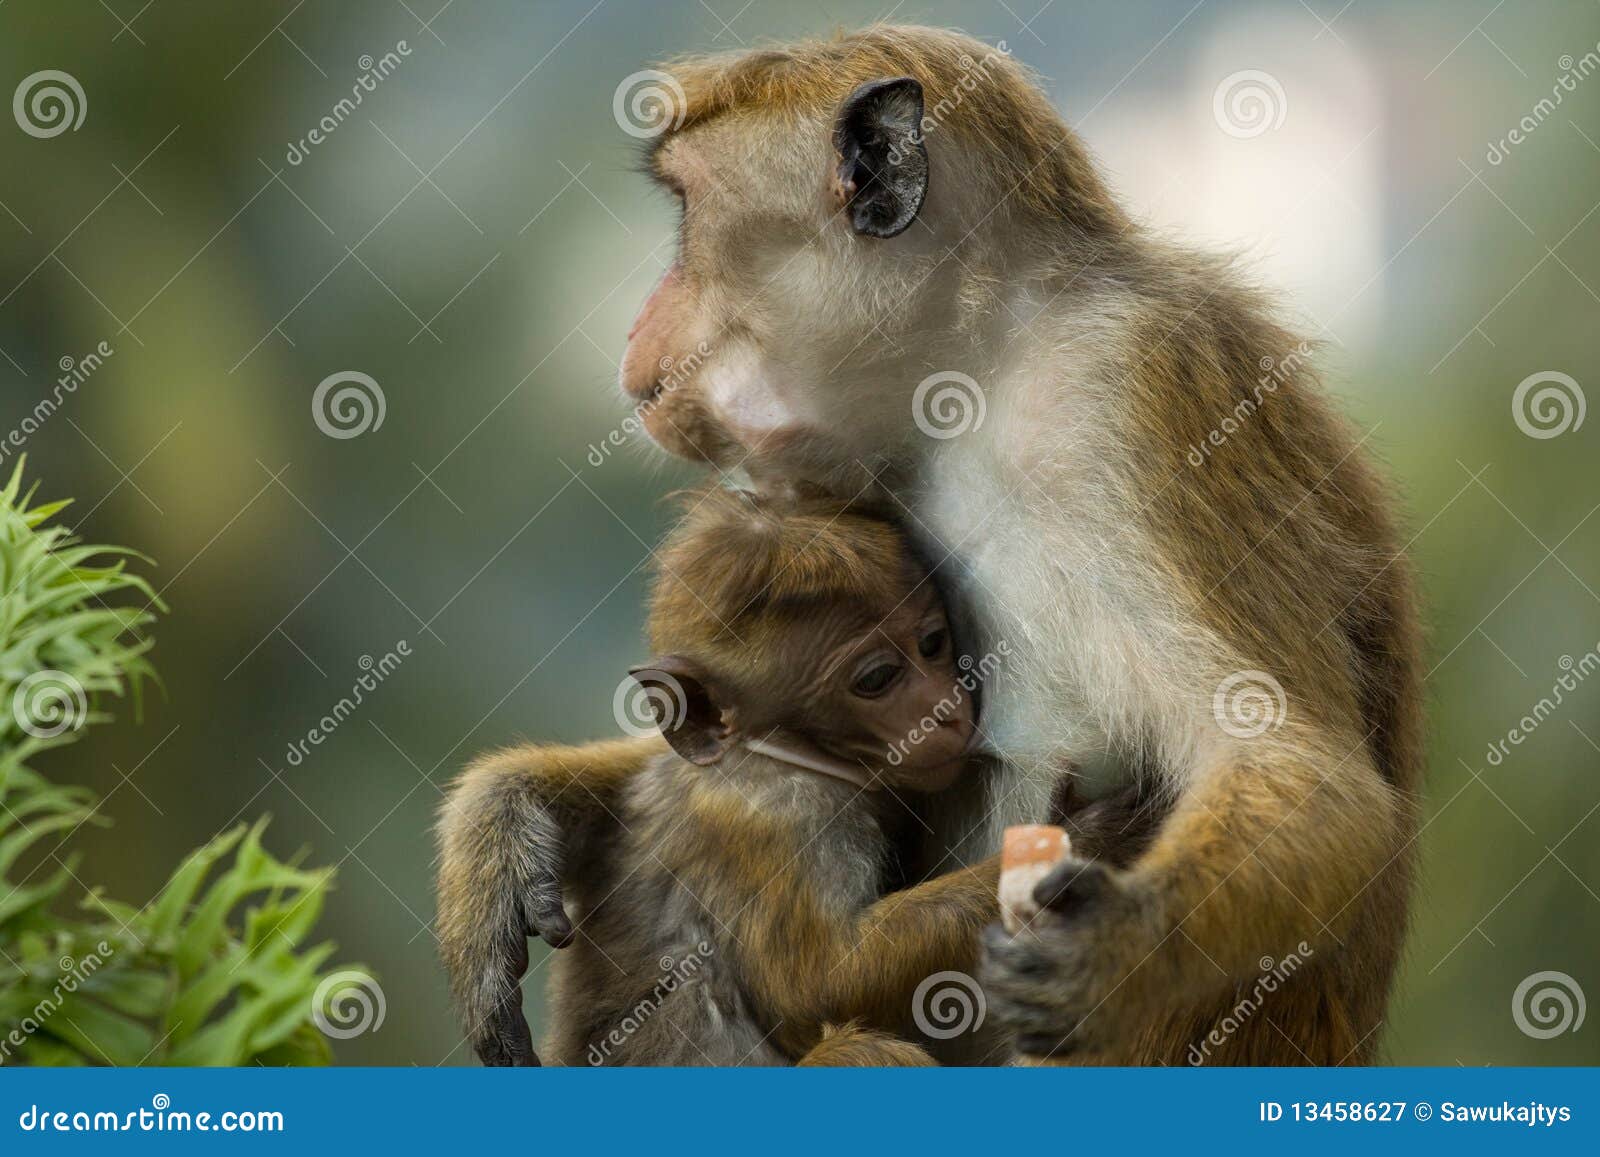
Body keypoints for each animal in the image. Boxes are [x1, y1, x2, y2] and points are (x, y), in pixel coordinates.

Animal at [441, 24, 1423, 1067]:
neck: (983, 367)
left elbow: (1305, 777)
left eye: (686, 212)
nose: (639, 323)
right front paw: (505, 819)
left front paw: (1114, 944)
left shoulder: (1129, 391)